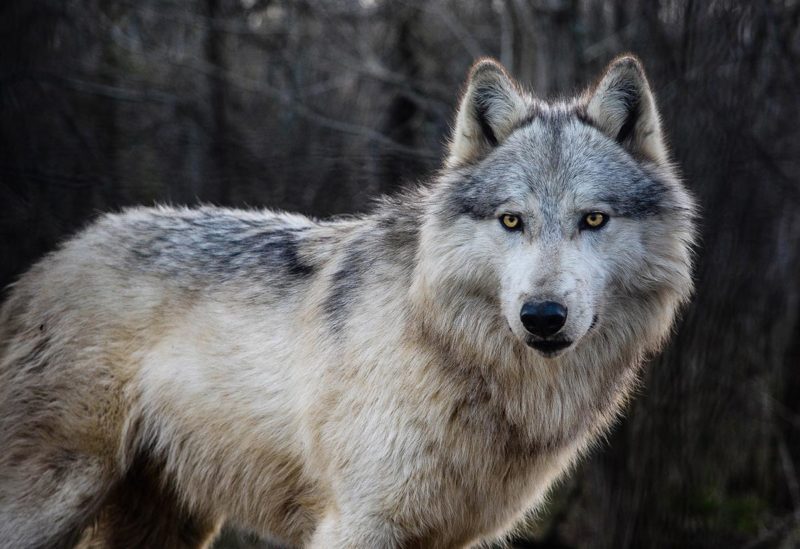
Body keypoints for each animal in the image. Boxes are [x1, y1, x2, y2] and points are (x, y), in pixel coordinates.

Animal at [0, 55, 695, 548]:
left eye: (593, 219)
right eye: (511, 221)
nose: (542, 316)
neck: (452, 355)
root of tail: (48, 264)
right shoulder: (358, 524)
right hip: (57, 497)